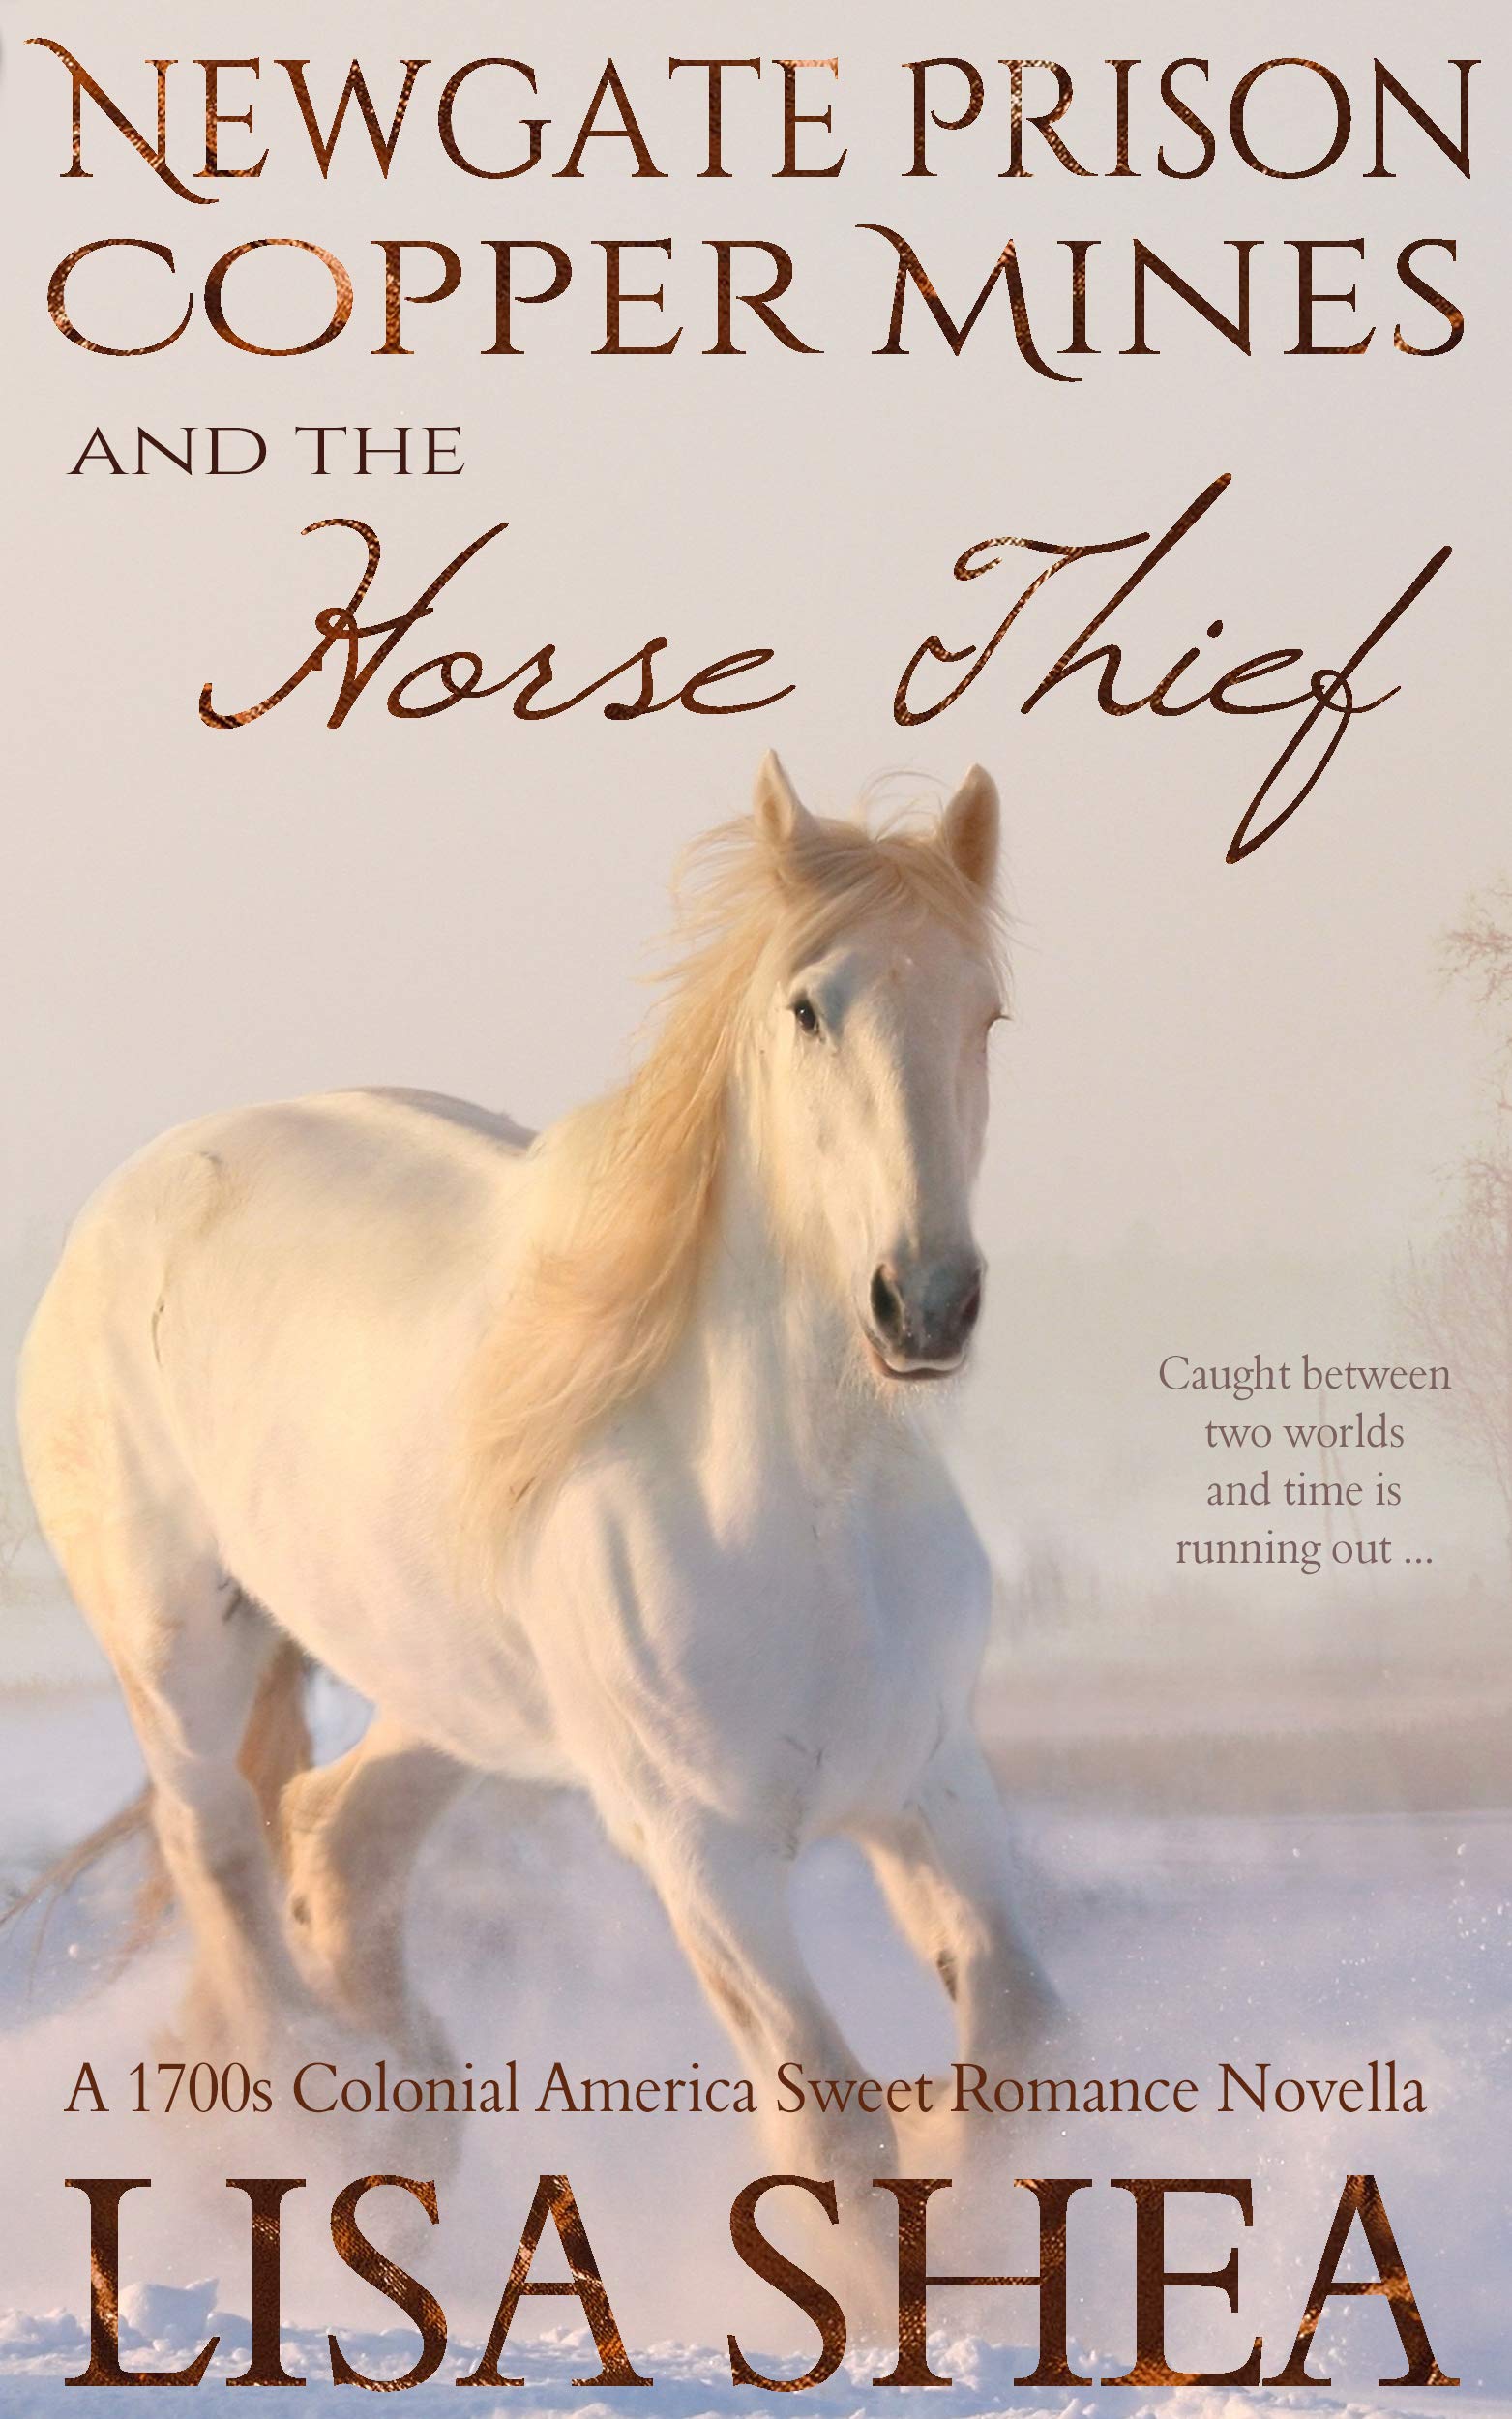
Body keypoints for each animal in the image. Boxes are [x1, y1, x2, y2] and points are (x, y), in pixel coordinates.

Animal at [17, 753, 1054, 2191]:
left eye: (986, 1013)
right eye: (808, 1008)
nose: (925, 1303)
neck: (808, 1518)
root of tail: (134, 1188)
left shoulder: (932, 1787)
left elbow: (1011, 2051)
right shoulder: (703, 1855)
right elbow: (835, 2129)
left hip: (452, 1690)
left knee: (336, 1842)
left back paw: (410, 2128)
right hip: (178, 1645)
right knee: (215, 1843)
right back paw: (312, 2103)